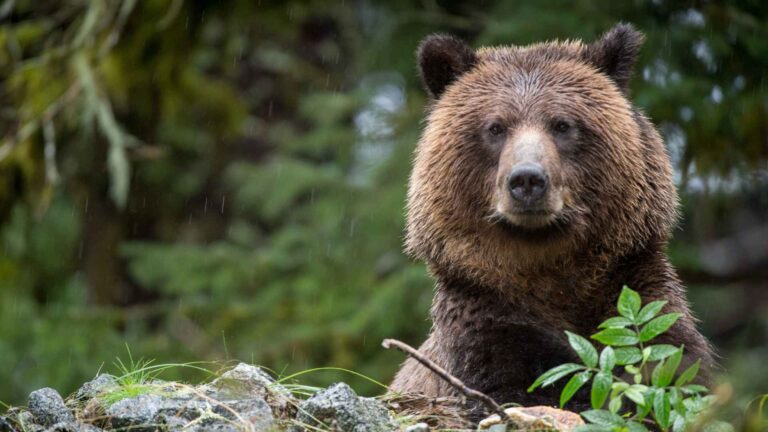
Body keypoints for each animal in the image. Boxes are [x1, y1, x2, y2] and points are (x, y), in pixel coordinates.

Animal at [390, 24, 715, 411]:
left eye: (562, 124)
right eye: (495, 127)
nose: (527, 179)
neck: (547, 268)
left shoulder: (637, 292)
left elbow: (674, 363)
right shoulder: (484, 316)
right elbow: (520, 382)